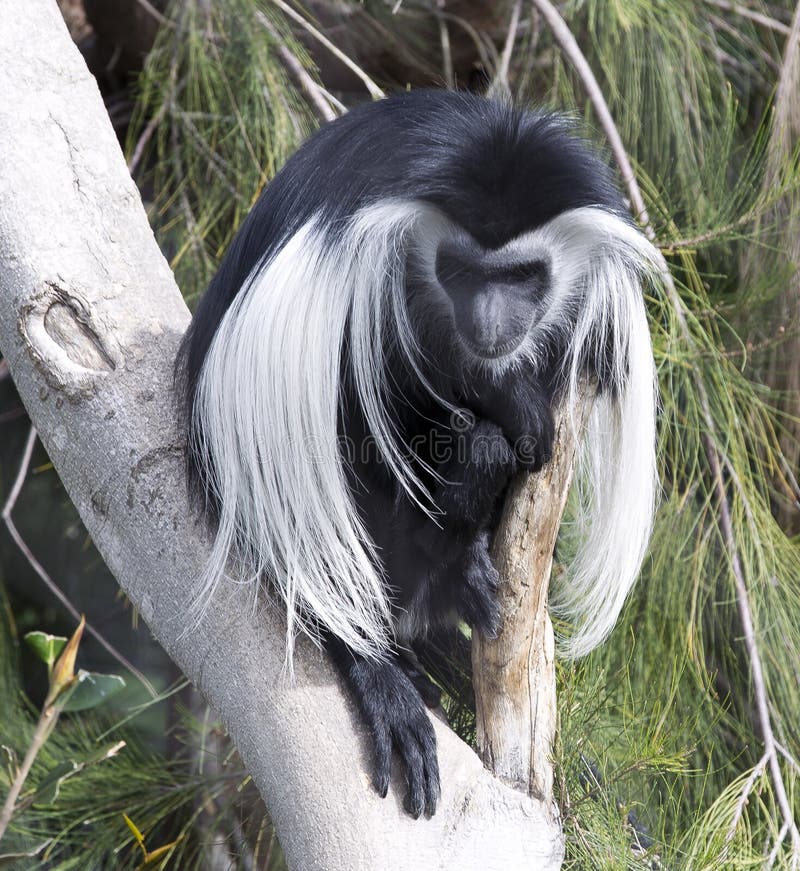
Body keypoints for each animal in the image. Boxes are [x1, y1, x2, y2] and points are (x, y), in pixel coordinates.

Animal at [176, 89, 662, 818]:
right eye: (459, 271)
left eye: (524, 275)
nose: (488, 326)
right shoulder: (356, 266)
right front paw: (508, 396)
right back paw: (384, 661)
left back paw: (460, 577)